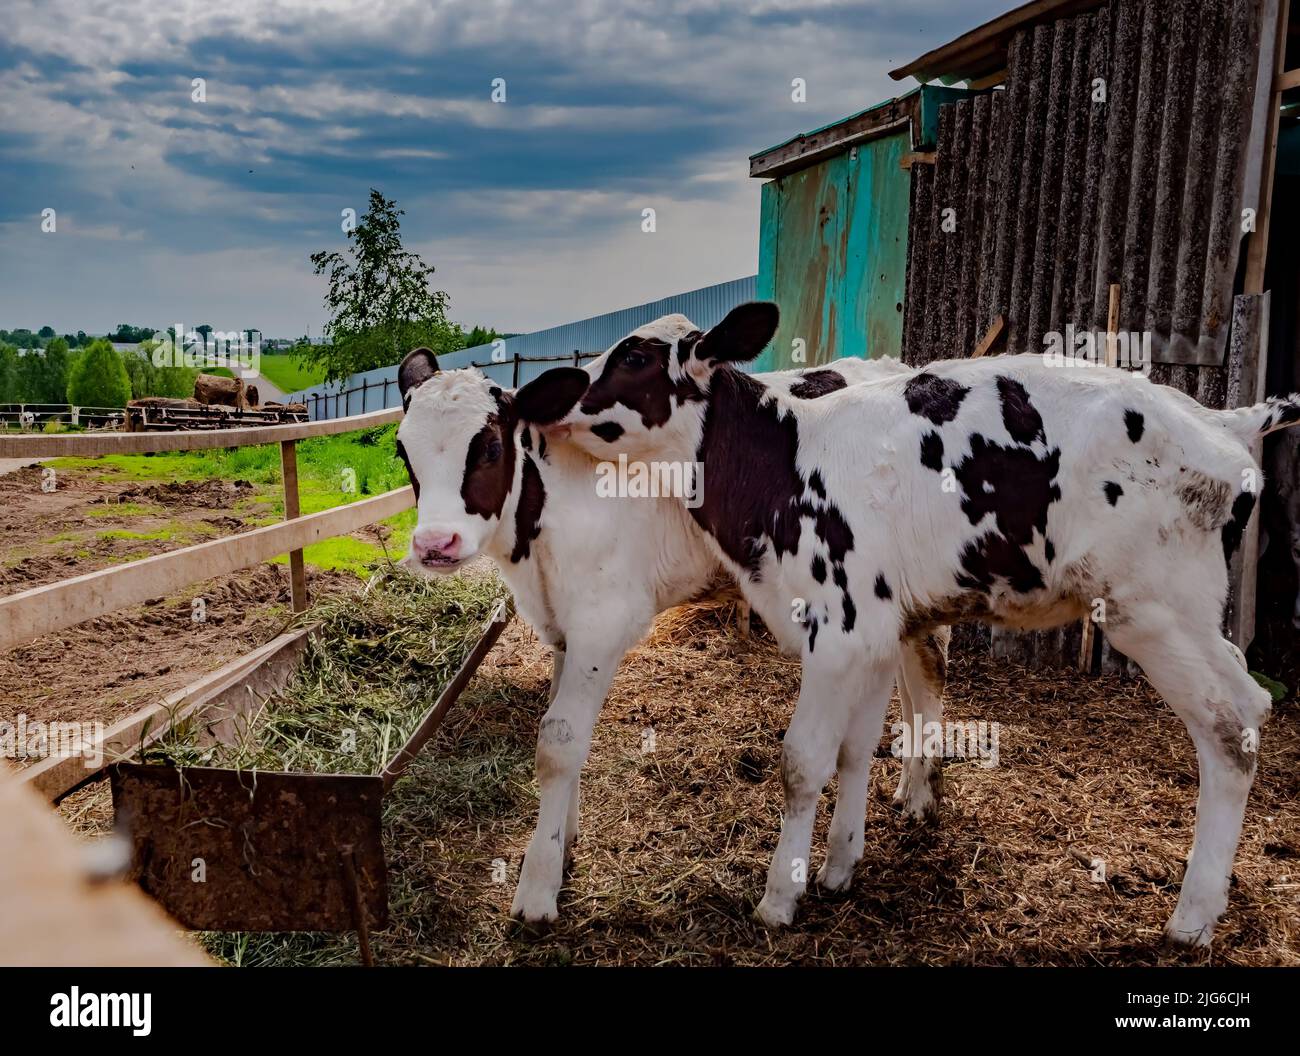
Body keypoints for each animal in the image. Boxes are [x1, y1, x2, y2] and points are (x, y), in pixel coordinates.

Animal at [393, 348, 949, 926]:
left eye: (491, 446)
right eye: (402, 451)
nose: (434, 544)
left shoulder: (602, 623)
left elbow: (558, 744)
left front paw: (538, 887)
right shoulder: (565, 629)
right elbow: (566, 733)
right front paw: (564, 842)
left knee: (930, 673)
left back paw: (921, 794)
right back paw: (908, 787)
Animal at [524, 302, 1300, 946]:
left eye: (632, 357)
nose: (541, 395)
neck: (784, 460)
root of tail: (1218, 421)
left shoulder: (838, 630)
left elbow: (802, 762)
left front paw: (780, 897)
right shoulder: (875, 629)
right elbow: (855, 749)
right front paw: (840, 867)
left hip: (1159, 607)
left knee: (1232, 722)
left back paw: (1192, 917)